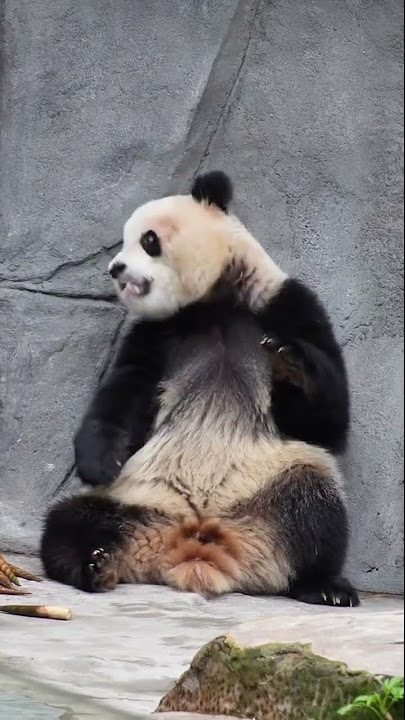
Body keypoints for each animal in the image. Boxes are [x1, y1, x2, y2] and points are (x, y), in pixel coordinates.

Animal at [41, 171, 359, 607]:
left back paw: (326, 586)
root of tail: (194, 541)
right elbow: (122, 393)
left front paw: (288, 360)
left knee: (319, 510)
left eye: (148, 239)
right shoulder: (156, 334)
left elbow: (329, 421)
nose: (115, 268)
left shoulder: (285, 302)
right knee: (66, 522)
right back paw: (94, 564)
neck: (212, 302)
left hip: (274, 482)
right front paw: (100, 461)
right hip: (133, 497)